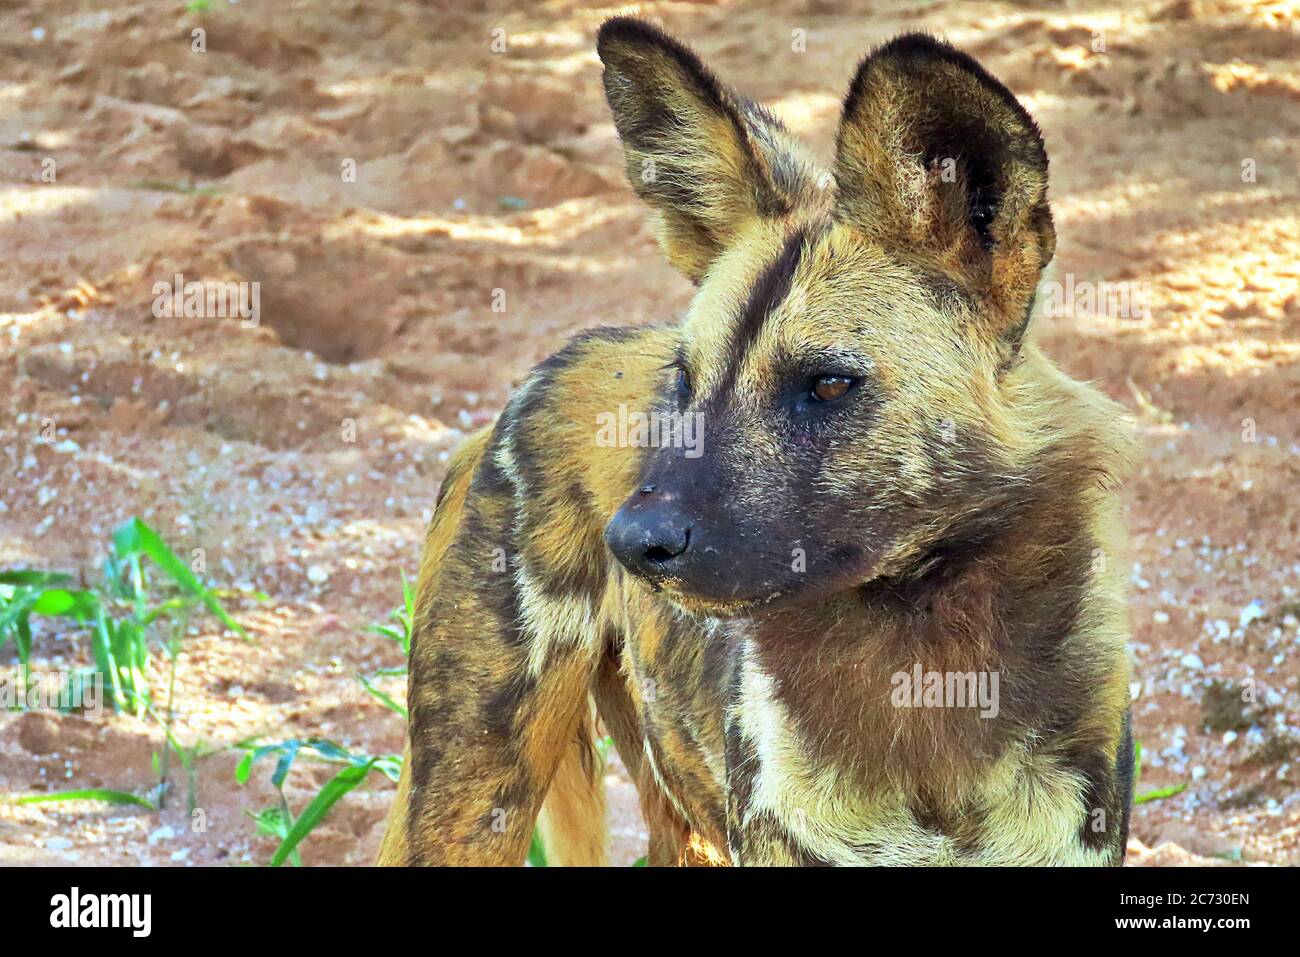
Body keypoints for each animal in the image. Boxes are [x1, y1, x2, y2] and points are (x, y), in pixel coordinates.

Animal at [377, 17, 1137, 866]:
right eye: (685, 380)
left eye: (828, 384)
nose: (631, 541)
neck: (926, 661)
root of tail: (542, 372)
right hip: (473, 795)